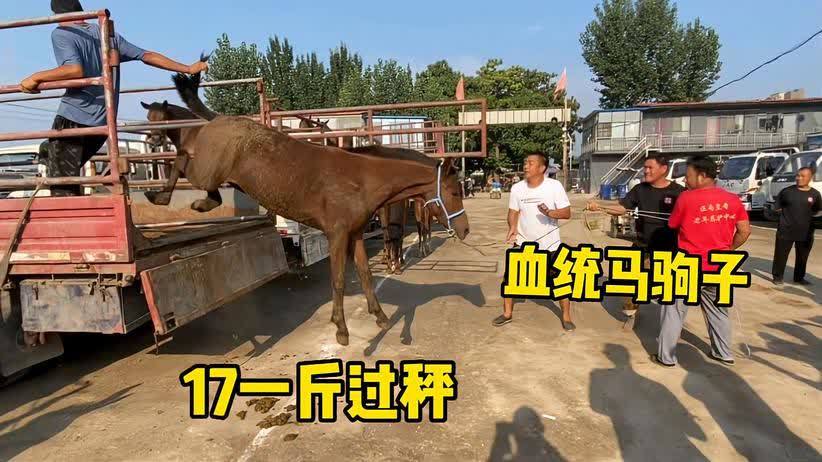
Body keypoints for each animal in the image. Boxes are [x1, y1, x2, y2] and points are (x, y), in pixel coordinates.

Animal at [143, 72, 470, 345]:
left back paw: (189, 201)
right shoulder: (337, 235)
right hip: (205, 172)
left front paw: (381, 317)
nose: (465, 229)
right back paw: (159, 196)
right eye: (455, 191)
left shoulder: (355, 235)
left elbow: (365, 275)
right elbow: (338, 280)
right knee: (181, 163)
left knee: (195, 175)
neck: (362, 178)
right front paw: (341, 329)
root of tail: (220, 119)